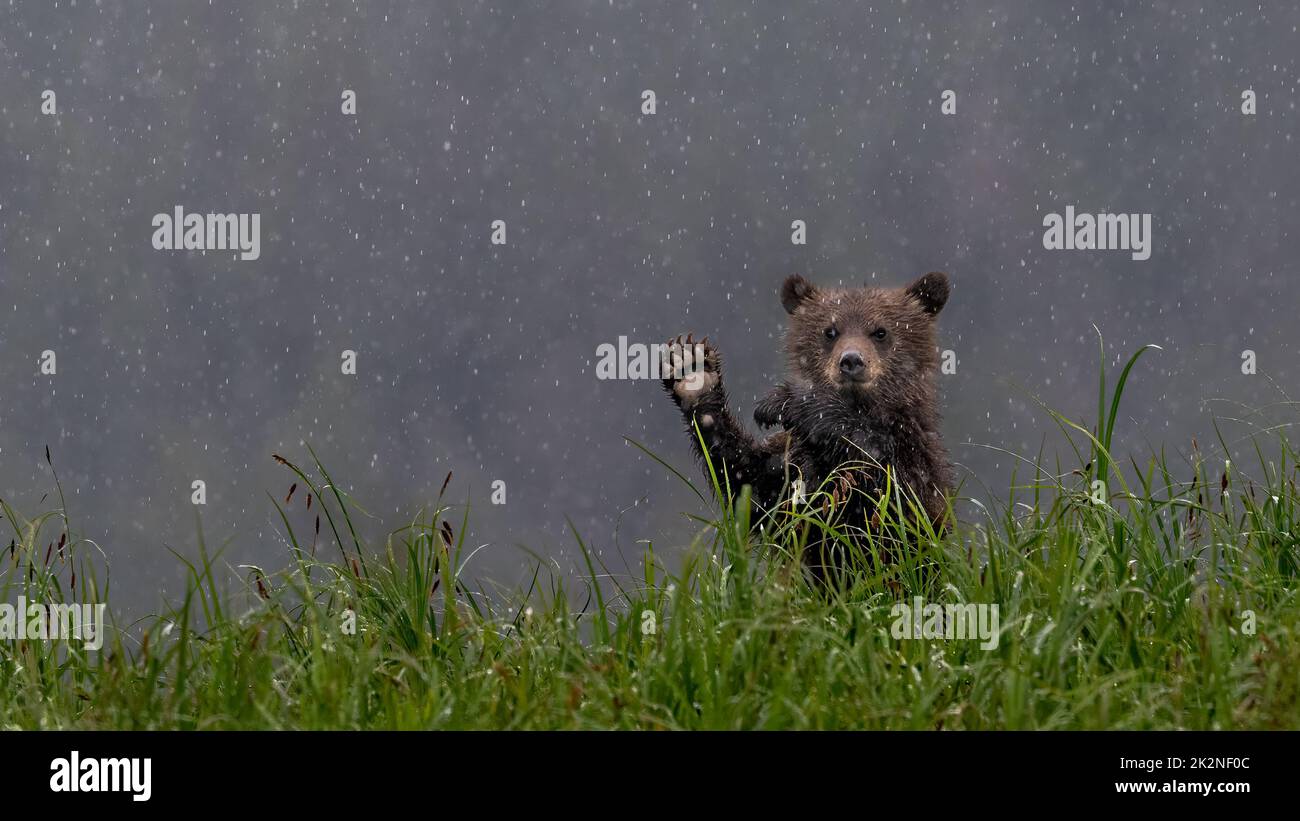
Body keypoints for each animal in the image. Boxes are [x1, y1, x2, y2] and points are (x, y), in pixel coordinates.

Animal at [662, 271, 953, 574]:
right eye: (830, 331)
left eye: (881, 331)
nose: (851, 360)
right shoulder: (793, 465)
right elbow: (750, 485)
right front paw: (692, 369)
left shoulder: (912, 451)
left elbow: (891, 491)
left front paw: (783, 402)